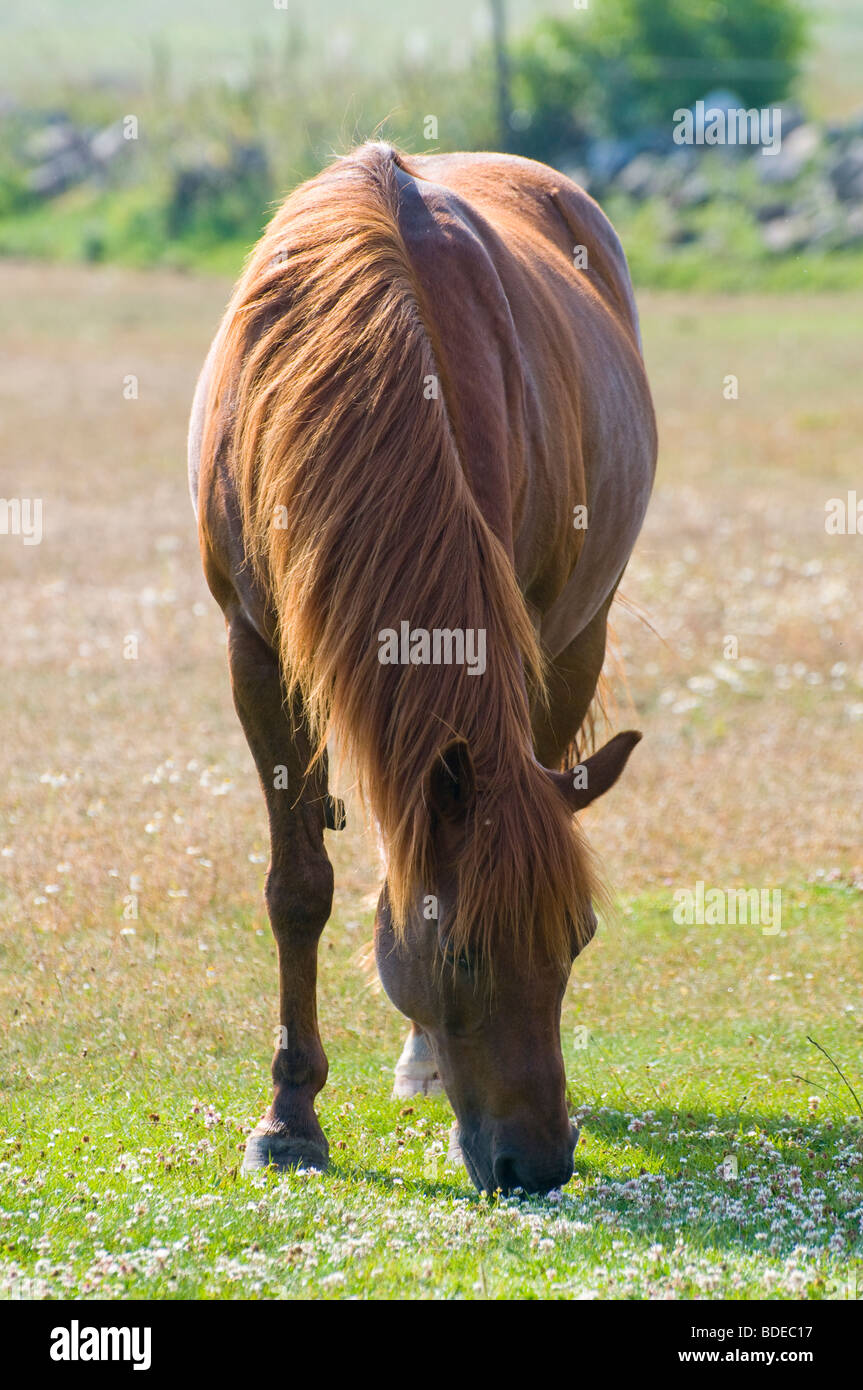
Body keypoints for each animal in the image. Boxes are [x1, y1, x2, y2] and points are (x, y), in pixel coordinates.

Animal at [188, 142, 656, 1195]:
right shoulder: (254, 651)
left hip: (577, 637)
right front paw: (289, 1119)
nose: (538, 1164)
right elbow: (298, 890)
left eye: (578, 940)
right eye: (467, 953)